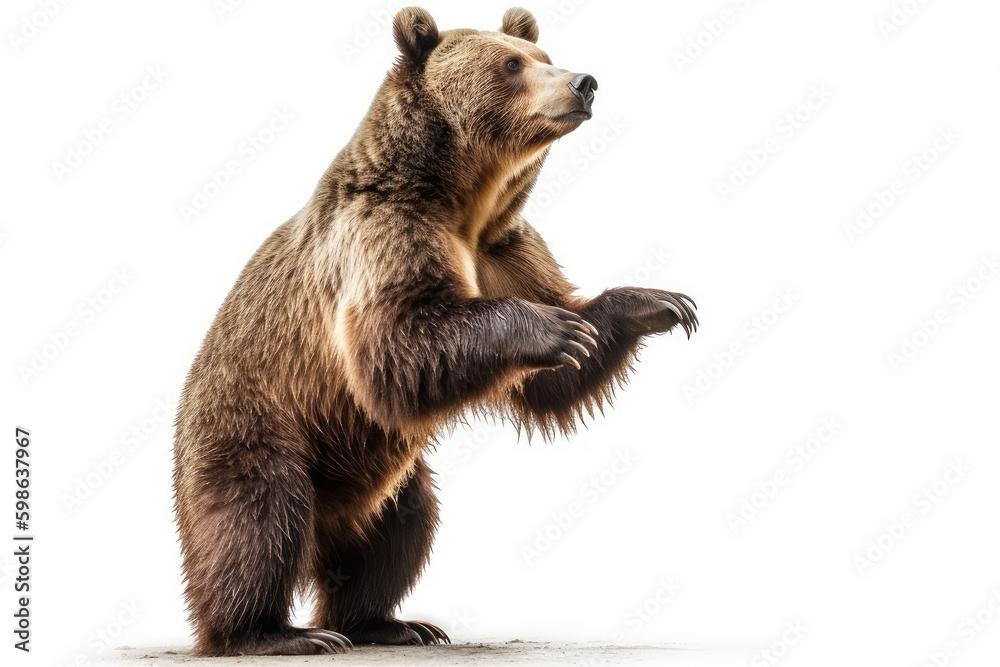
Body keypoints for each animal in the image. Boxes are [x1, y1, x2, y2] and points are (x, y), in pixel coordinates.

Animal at [172, 6, 698, 657]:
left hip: (378, 473)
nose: (584, 82)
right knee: (257, 518)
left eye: (544, 56)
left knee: (400, 529)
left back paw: (389, 622)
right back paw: (273, 633)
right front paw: (550, 330)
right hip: (256, 424)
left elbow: (553, 379)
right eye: (512, 64)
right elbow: (397, 342)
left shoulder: (507, 250)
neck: (463, 201)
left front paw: (653, 304)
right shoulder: (385, 236)